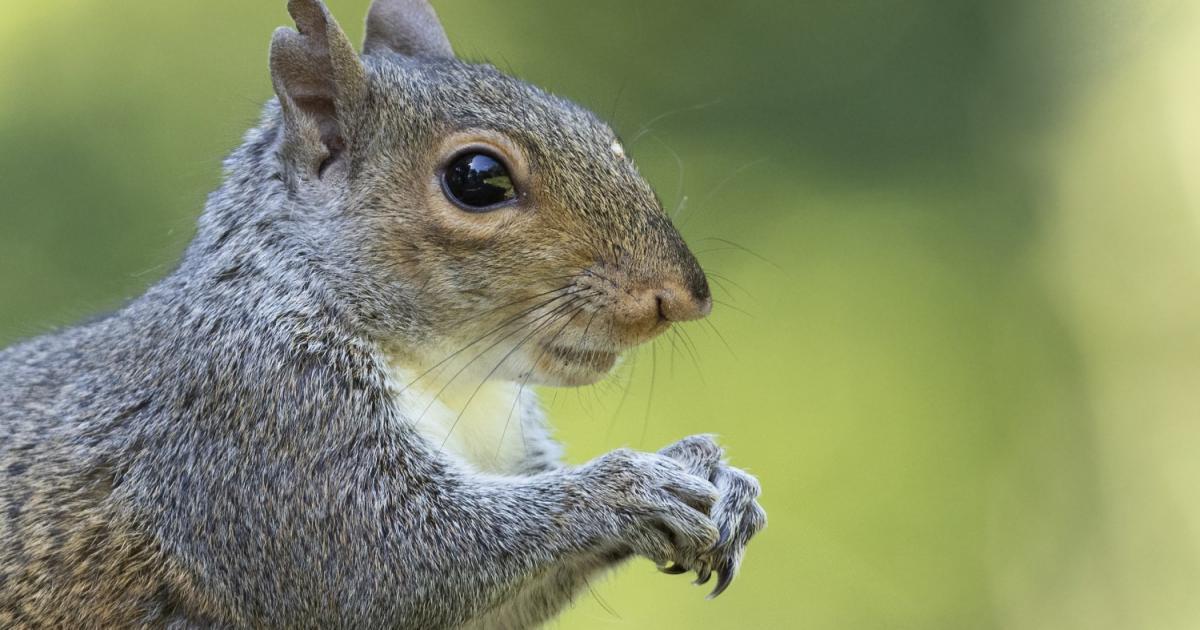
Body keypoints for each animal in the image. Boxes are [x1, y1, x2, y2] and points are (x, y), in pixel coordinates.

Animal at [0, 0, 766, 627]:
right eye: (477, 178)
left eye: (599, 130)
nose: (682, 297)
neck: (446, 374)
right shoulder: (258, 422)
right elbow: (392, 559)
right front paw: (629, 487)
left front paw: (724, 483)